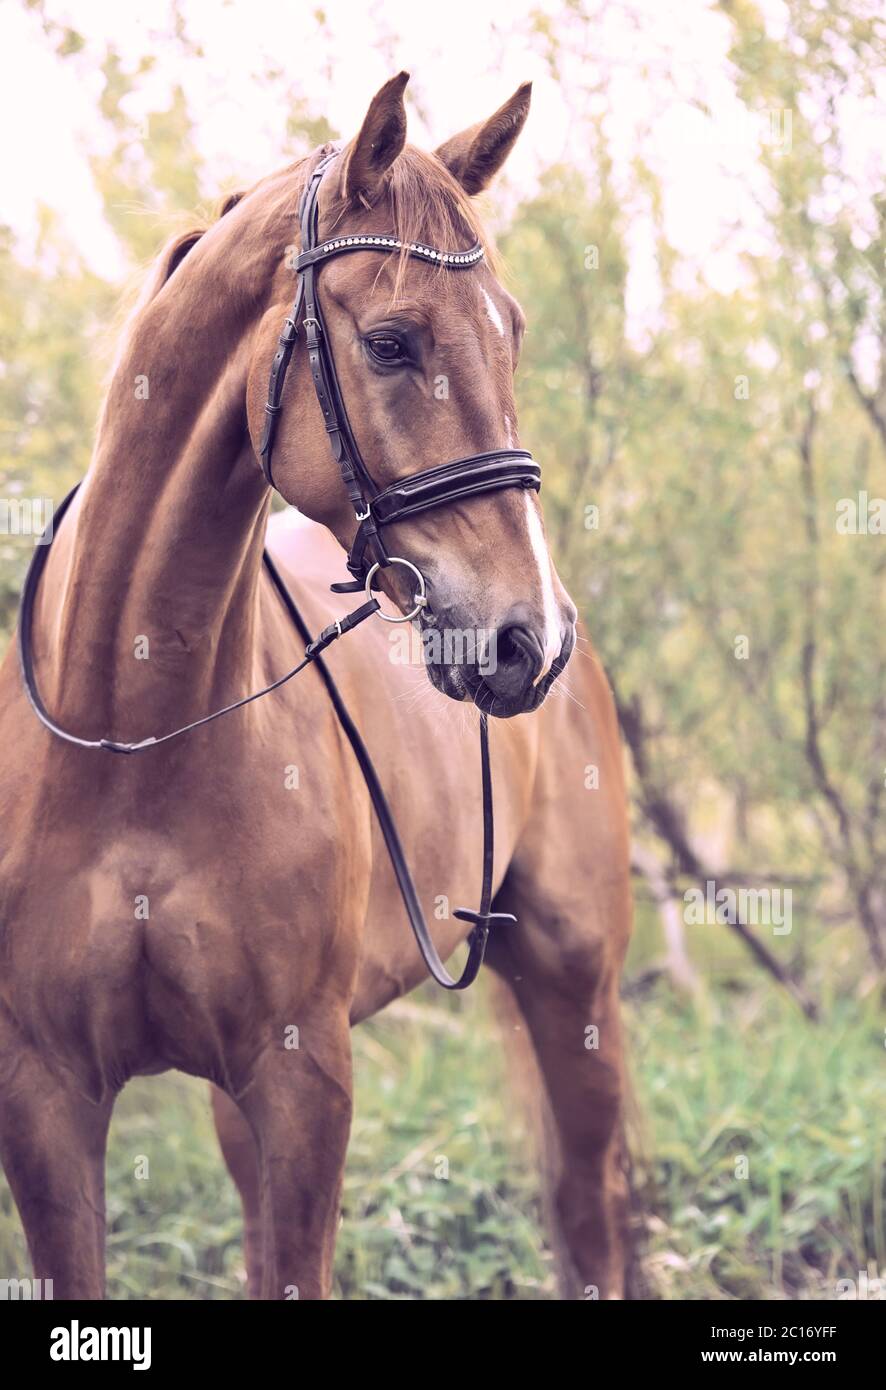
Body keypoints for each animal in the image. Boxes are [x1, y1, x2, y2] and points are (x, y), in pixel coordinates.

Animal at [0, 73, 633, 1300]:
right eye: (390, 342)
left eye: (511, 333)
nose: (527, 639)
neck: (131, 737)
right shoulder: (44, 1096)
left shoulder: (301, 1080)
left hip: (574, 993)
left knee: (594, 1223)